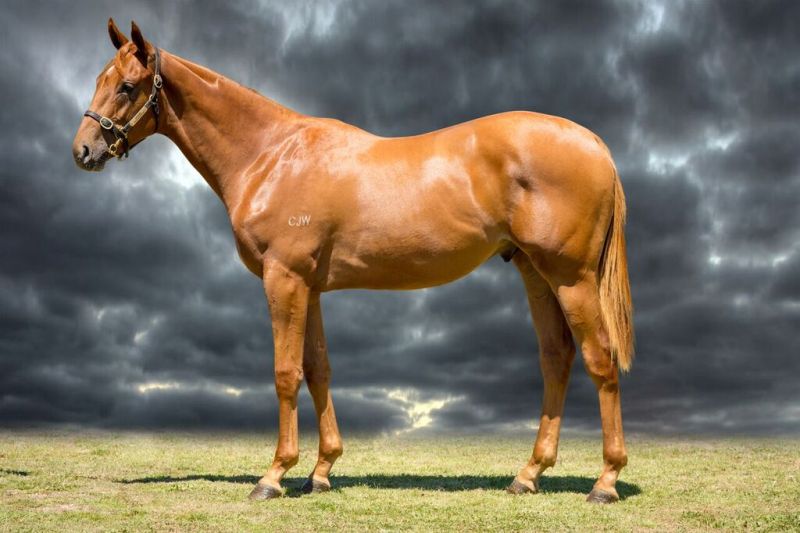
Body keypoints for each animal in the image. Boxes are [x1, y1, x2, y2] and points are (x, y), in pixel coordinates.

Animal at [72, 19, 634, 504]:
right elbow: (318, 369)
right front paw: (321, 472)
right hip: (535, 274)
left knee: (600, 360)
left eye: (127, 86)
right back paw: (528, 475)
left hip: (572, 278)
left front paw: (274, 476)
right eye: (101, 80)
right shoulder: (310, 286)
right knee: (556, 359)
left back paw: (604, 482)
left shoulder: (283, 279)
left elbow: (285, 372)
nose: (83, 151)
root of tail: (593, 143)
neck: (271, 155)